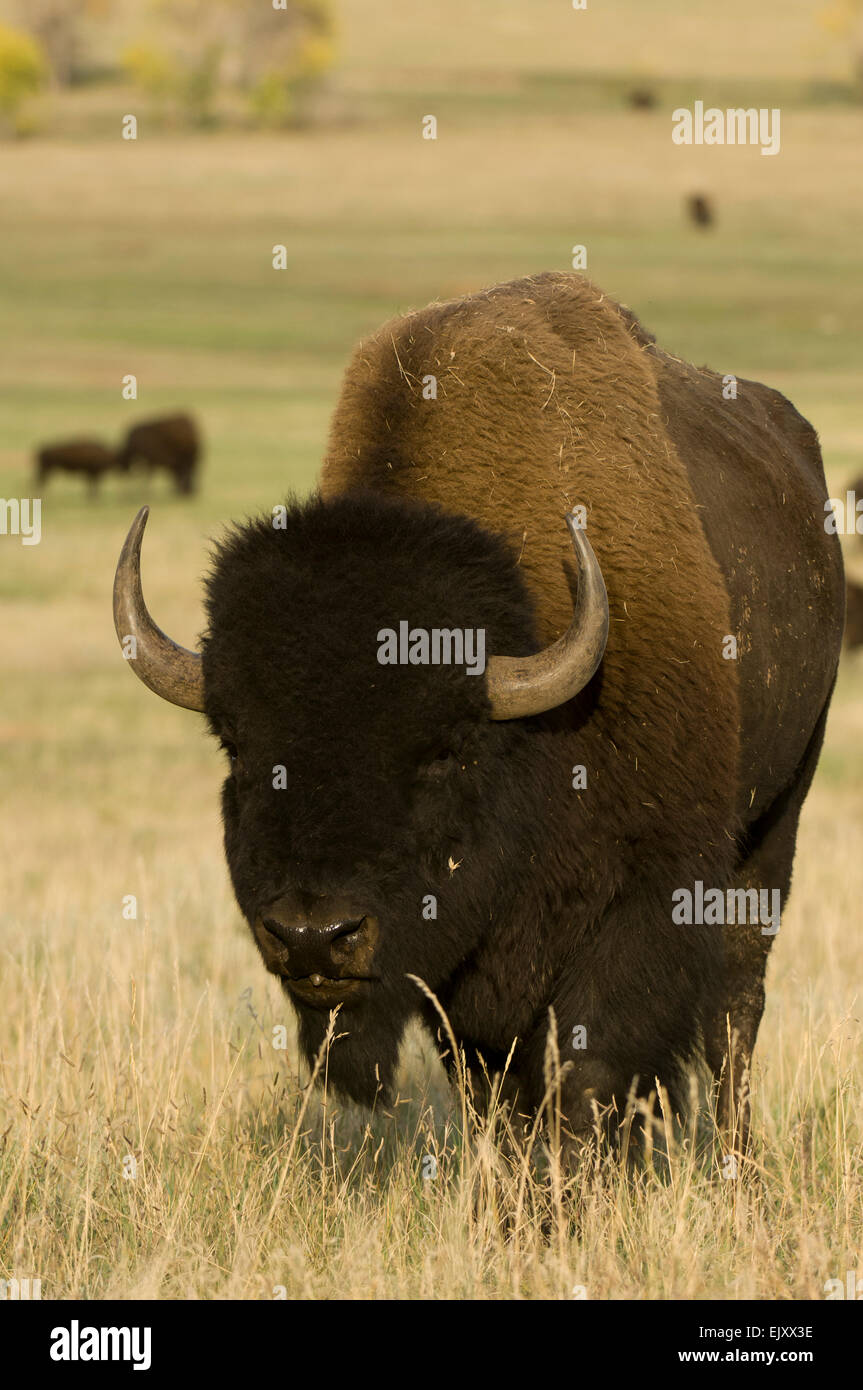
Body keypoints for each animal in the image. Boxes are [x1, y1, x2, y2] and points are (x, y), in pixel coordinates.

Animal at [113, 273, 844, 1160]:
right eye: (242, 753)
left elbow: (588, 1070)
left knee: (735, 1007)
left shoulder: (643, 897)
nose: (315, 936)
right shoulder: (460, 976)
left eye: (441, 753)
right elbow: (494, 1089)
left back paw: (736, 1160)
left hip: (777, 819)